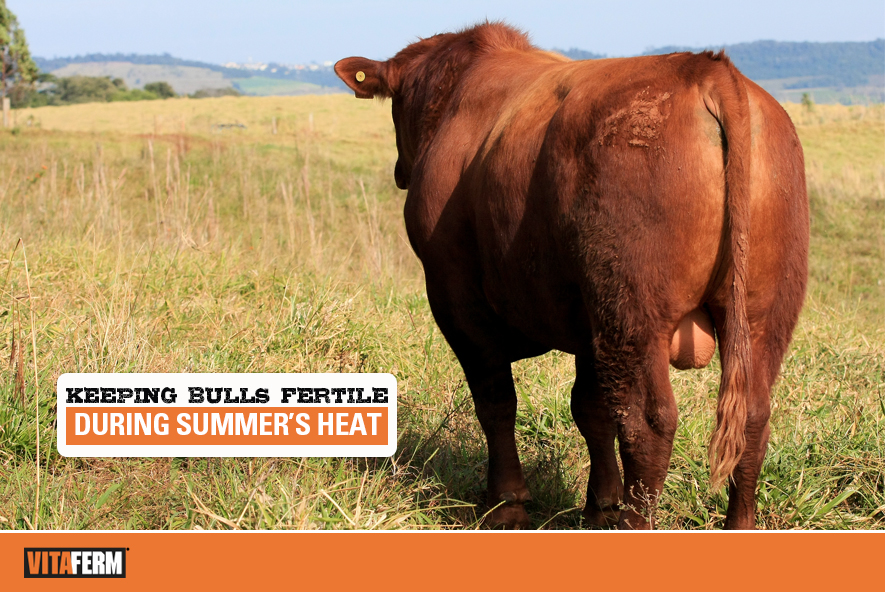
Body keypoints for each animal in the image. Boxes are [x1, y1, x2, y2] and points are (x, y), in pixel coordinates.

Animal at [335, 22, 808, 529]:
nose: (400, 171)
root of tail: (707, 71)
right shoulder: (586, 318)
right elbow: (590, 409)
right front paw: (600, 503)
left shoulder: (456, 299)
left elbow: (496, 400)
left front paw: (508, 502)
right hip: (758, 315)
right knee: (752, 416)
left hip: (633, 311)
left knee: (648, 422)